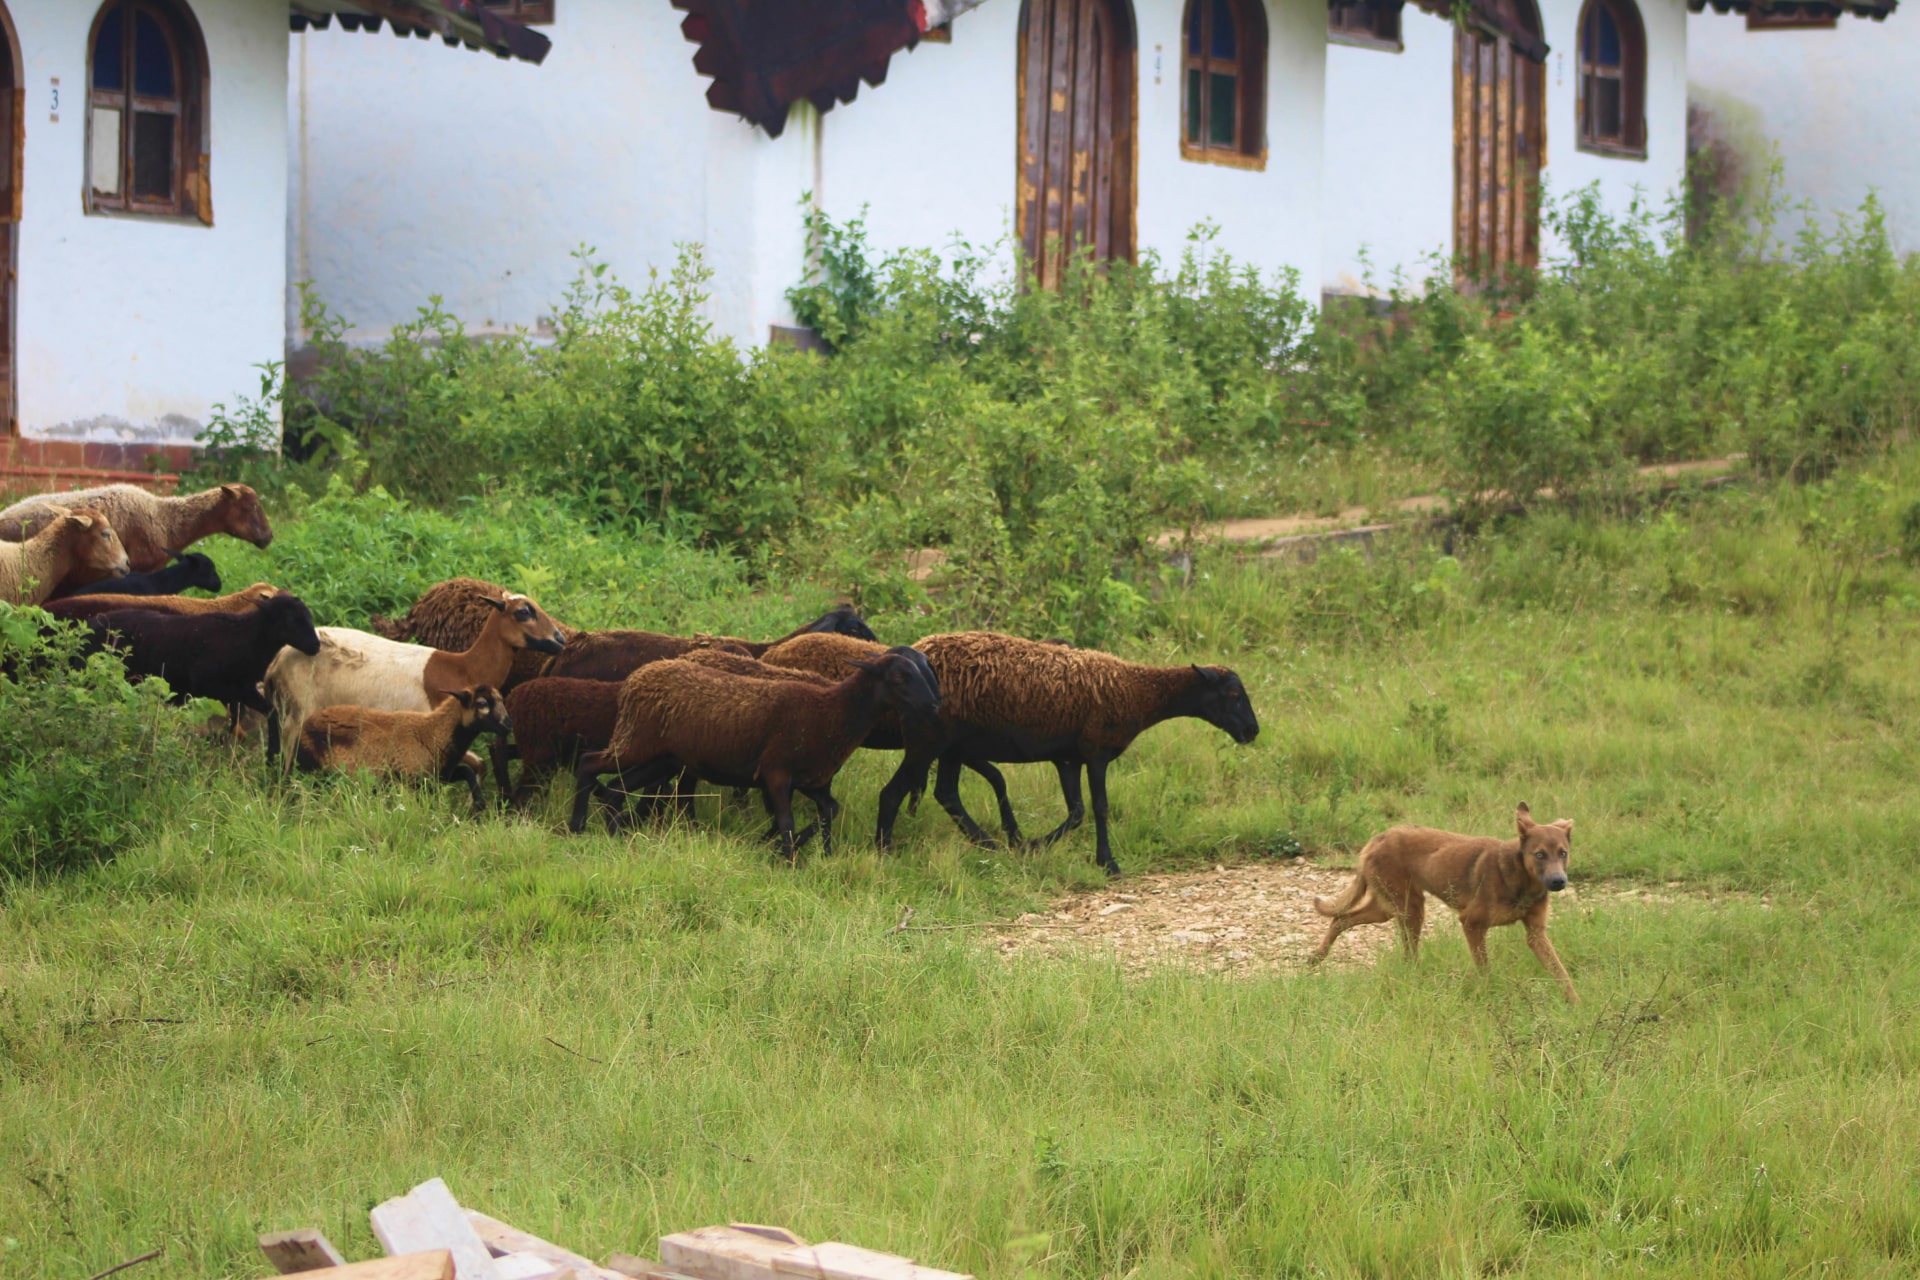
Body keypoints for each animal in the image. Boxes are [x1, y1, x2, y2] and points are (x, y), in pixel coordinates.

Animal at [87, 592, 322, 728]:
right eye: (290, 620)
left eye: (309, 616)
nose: (316, 645)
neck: (246, 637)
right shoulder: (208, 687)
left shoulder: (246, 688)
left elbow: (265, 713)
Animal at [294, 686, 511, 812]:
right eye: (482, 703)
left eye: (502, 699)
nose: (508, 725)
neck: (433, 732)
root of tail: (305, 725)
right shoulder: (413, 782)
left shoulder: (438, 777)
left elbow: (467, 771)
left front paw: (479, 803)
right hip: (315, 775)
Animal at [570, 647, 940, 861]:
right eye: (899, 676)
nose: (934, 706)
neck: (831, 710)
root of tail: (635, 680)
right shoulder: (776, 773)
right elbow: (786, 821)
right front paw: (787, 860)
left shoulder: (812, 780)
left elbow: (829, 811)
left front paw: (813, 851)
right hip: (635, 741)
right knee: (589, 765)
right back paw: (577, 827)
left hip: (662, 758)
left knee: (616, 788)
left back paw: (617, 836)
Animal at [873, 632, 1261, 876]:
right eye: (1233, 695)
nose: (1253, 731)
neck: (1139, 692)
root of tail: (915, 650)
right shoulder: (1097, 750)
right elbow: (1099, 808)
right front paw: (1108, 864)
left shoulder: (1068, 758)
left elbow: (1076, 812)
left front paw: (1034, 845)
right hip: (929, 739)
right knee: (892, 793)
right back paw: (885, 853)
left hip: (951, 746)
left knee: (947, 795)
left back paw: (991, 846)